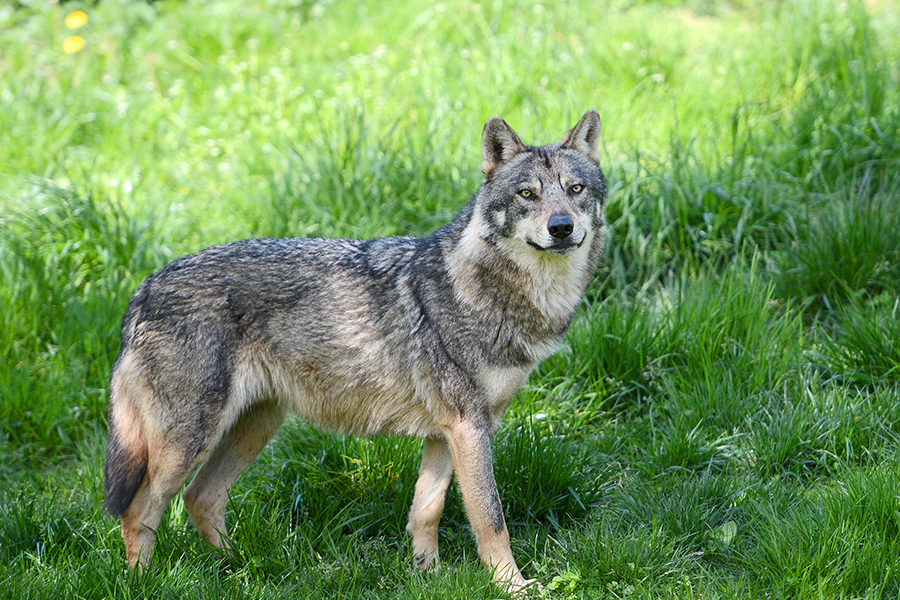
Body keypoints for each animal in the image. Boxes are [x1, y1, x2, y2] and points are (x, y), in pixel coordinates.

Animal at [104, 110, 607, 592]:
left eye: (575, 189)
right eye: (527, 194)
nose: (561, 228)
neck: (497, 291)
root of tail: (141, 291)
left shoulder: (449, 431)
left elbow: (426, 512)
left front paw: (429, 576)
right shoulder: (468, 427)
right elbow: (490, 518)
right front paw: (513, 586)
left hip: (255, 425)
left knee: (201, 498)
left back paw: (245, 568)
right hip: (187, 442)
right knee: (139, 510)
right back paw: (144, 582)